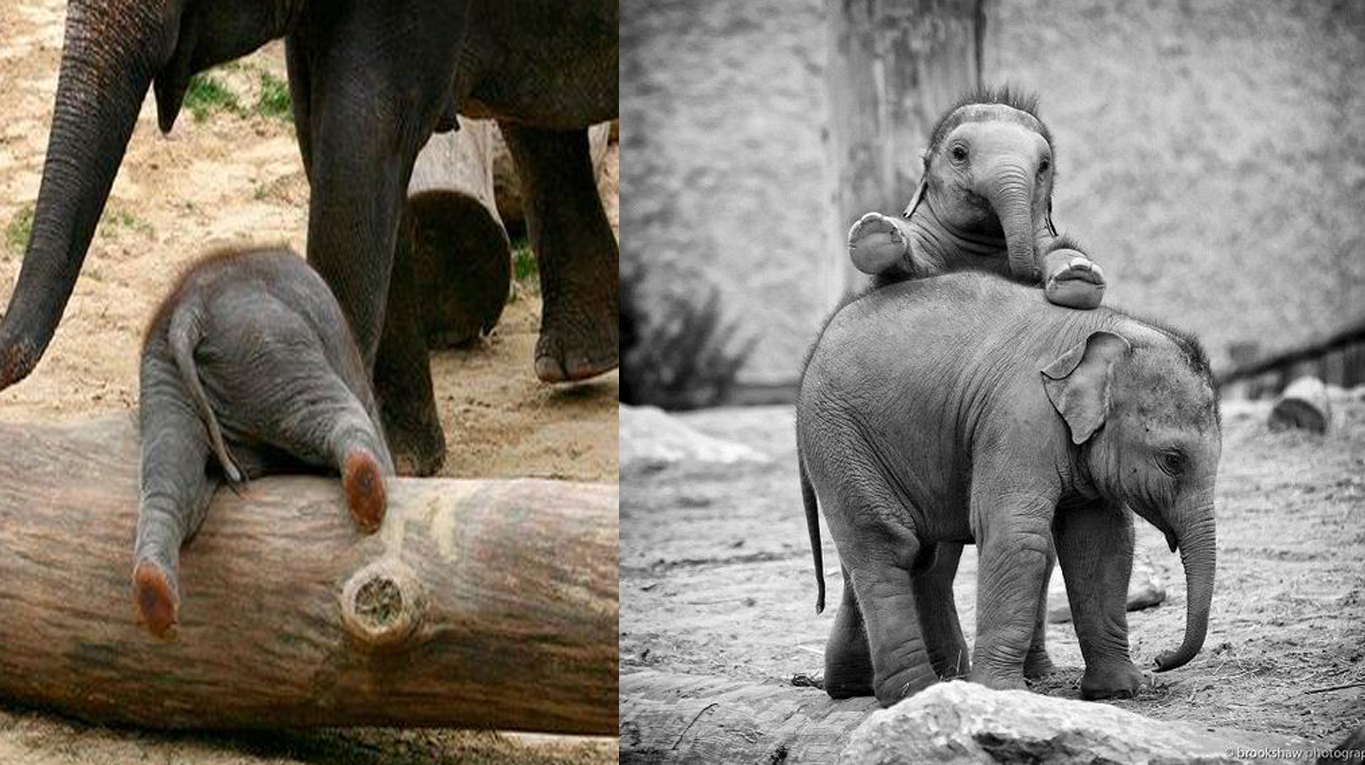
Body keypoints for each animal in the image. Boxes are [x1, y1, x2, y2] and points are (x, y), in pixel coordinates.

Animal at [135, 246, 393, 639]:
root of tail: (189, 308)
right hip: (268, 347)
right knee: (332, 412)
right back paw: (369, 503)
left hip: (166, 380)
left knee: (170, 478)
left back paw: (155, 599)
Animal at [797, 272, 1221, 707]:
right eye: (1173, 460)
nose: (1160, 660)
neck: (1103, 331)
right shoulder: (1018, 418)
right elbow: (1015, 535)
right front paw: (1002, 693)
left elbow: (1102, 542)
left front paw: (1120, 690)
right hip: (840, 436)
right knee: (887, 545)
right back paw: (914, 692)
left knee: (908, 557)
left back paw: (852, 686)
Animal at [846, 87, 1106, 310]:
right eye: (958, 153)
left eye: (1044, 166)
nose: (1033, 273)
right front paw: (874, 232)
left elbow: (1058, 247)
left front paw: (1078, 274)